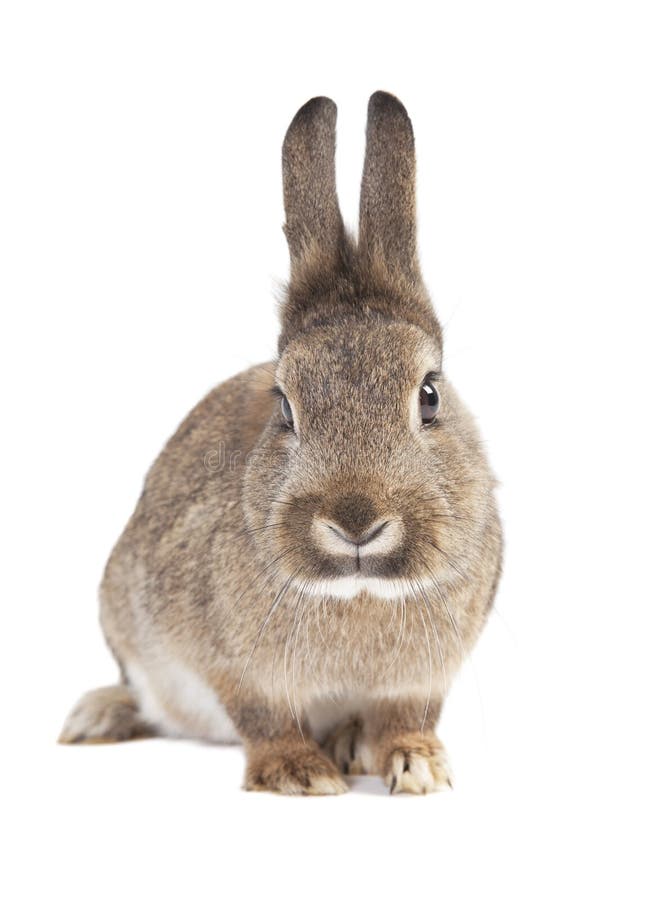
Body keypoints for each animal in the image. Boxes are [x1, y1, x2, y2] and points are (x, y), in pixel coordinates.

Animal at [60, 91, 503, 795]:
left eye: (429, 396)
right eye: (285, 406)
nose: (356, 523)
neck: (358, 591)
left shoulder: (423, 678)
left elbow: (406, 715)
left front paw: (418, 765)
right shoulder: (235, 669)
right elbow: (265, 717)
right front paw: (300, 774)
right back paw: (94, 717)